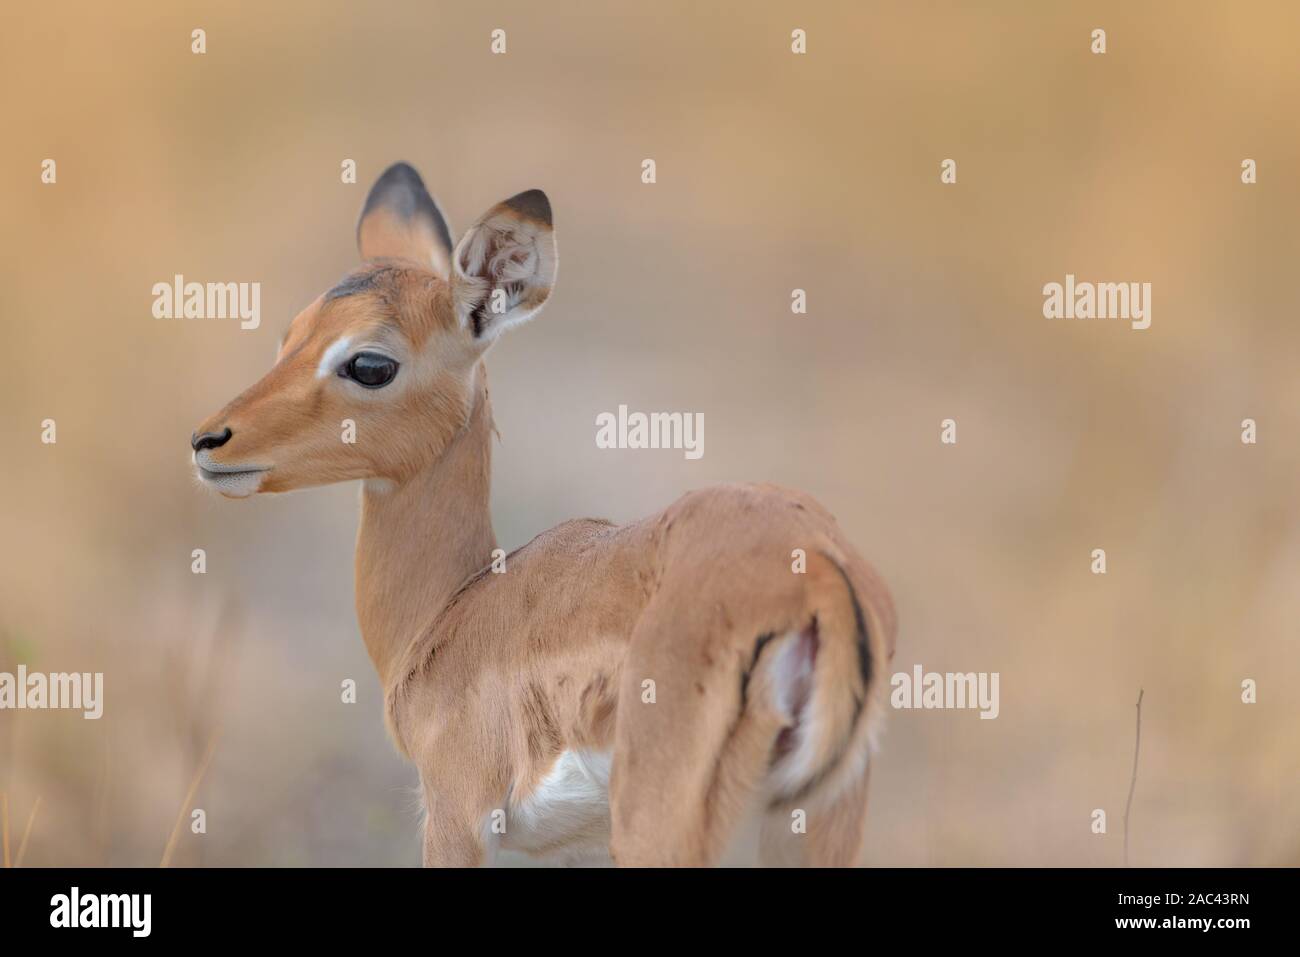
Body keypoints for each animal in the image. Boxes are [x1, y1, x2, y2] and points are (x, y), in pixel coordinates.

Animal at [191, 162, 897, 866]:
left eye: (369, 363)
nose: (208, 441)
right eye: (292, 335)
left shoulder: (454, 818)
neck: (455, 605)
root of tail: (818, 576)